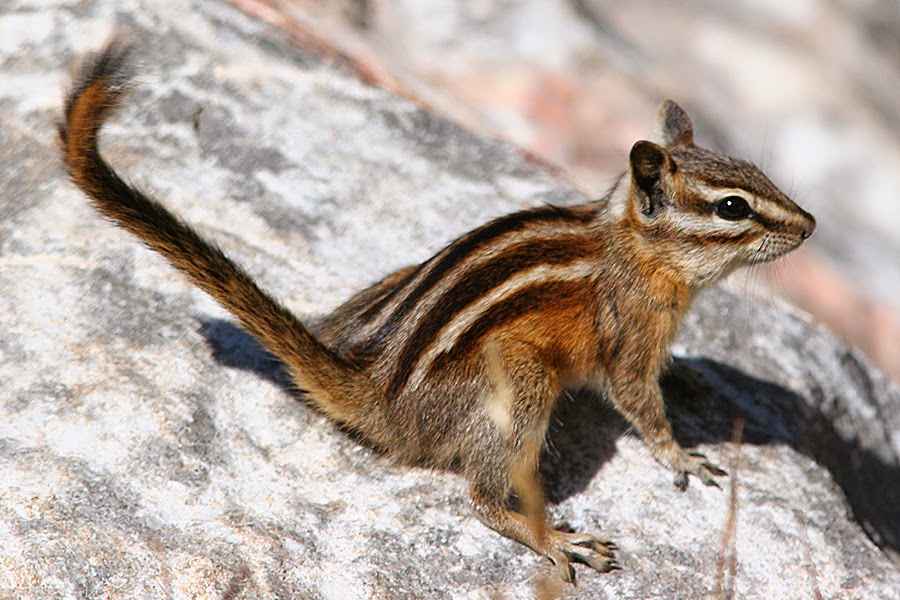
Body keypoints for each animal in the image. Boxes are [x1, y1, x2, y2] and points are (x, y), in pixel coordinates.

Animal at [59, 38, 816, 581]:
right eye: (732, 208)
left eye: (757, 173)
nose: (809, 225)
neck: (631, 244)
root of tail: (377, 392)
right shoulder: (628, 335)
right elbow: (640, 403)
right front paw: (681, 454)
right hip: (521, 381)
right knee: (480, 499)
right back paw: (555, 538)